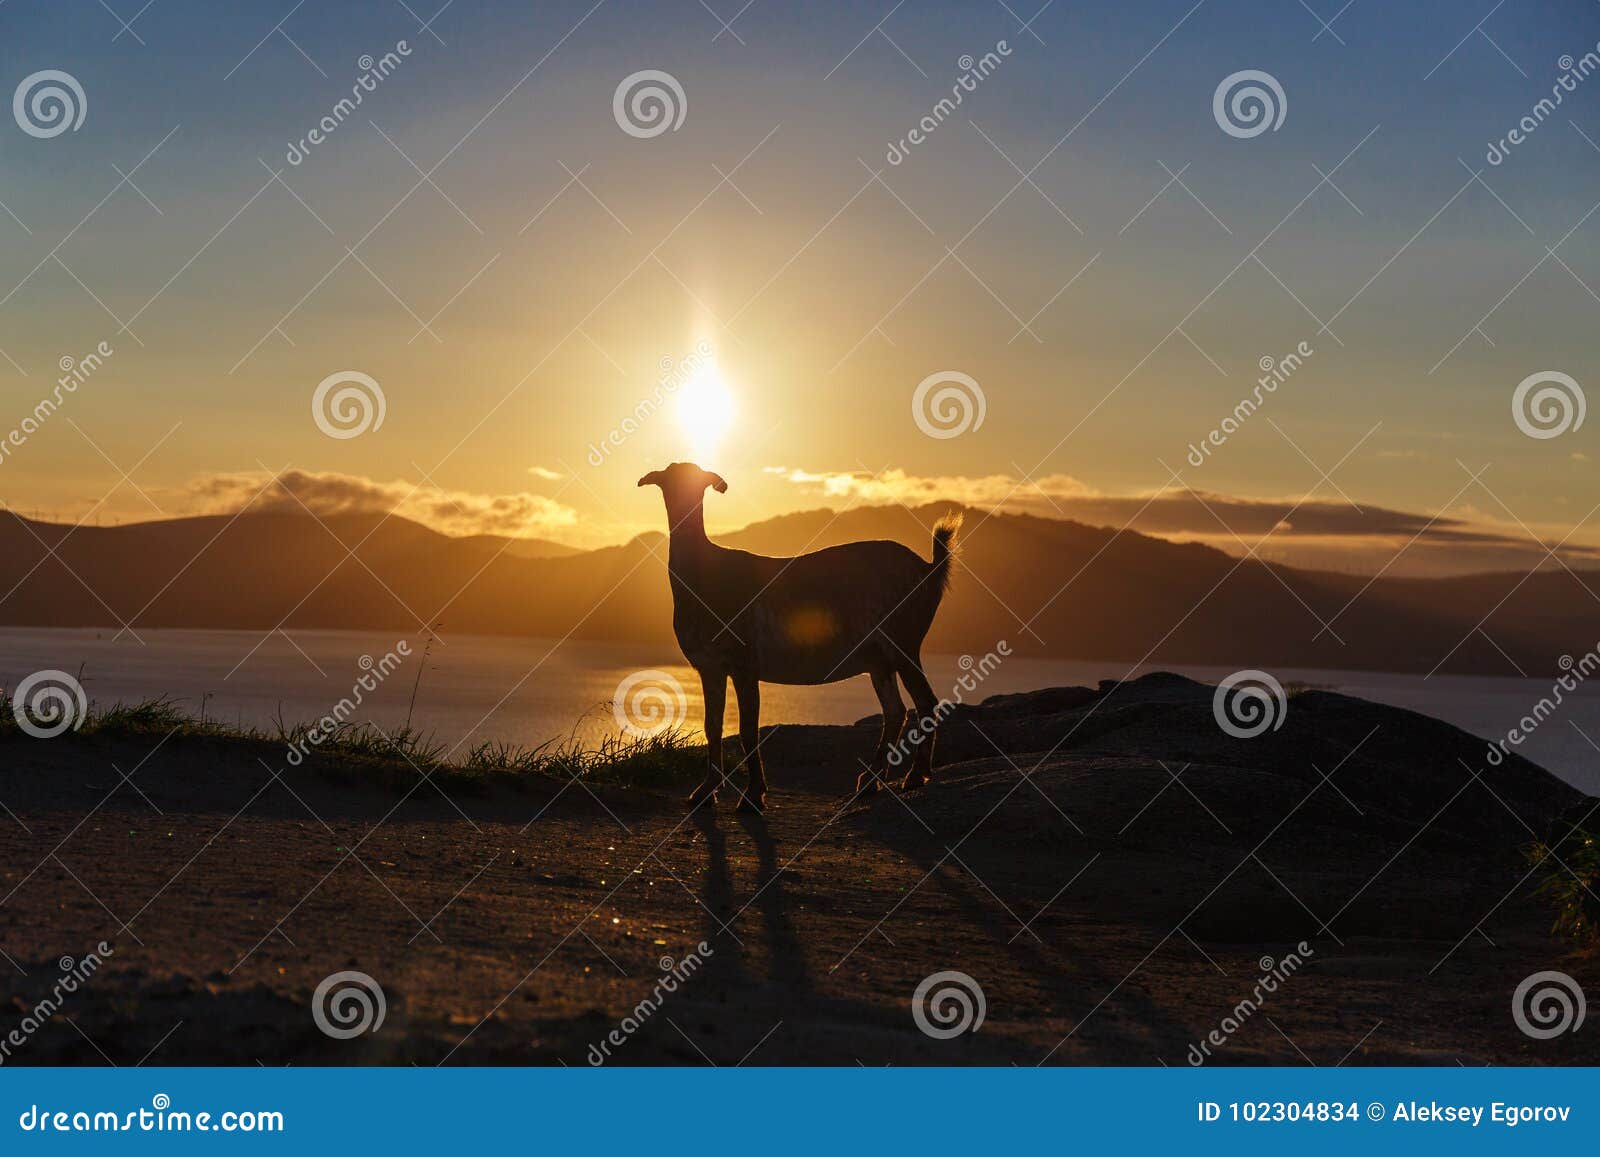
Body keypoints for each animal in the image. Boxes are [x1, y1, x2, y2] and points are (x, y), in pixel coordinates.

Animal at [638, 462, 960, 812]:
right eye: (668, 480)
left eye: (698, 483)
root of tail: (930, 567)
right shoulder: (710, 667)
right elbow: (713, 726)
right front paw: (704, 792)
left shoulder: (744, 664)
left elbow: (748, 730)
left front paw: (753, 797)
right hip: (879, 660)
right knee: (895, 711)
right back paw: (869, 782)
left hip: (904, 642)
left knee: (925, 703)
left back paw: (914, 776)